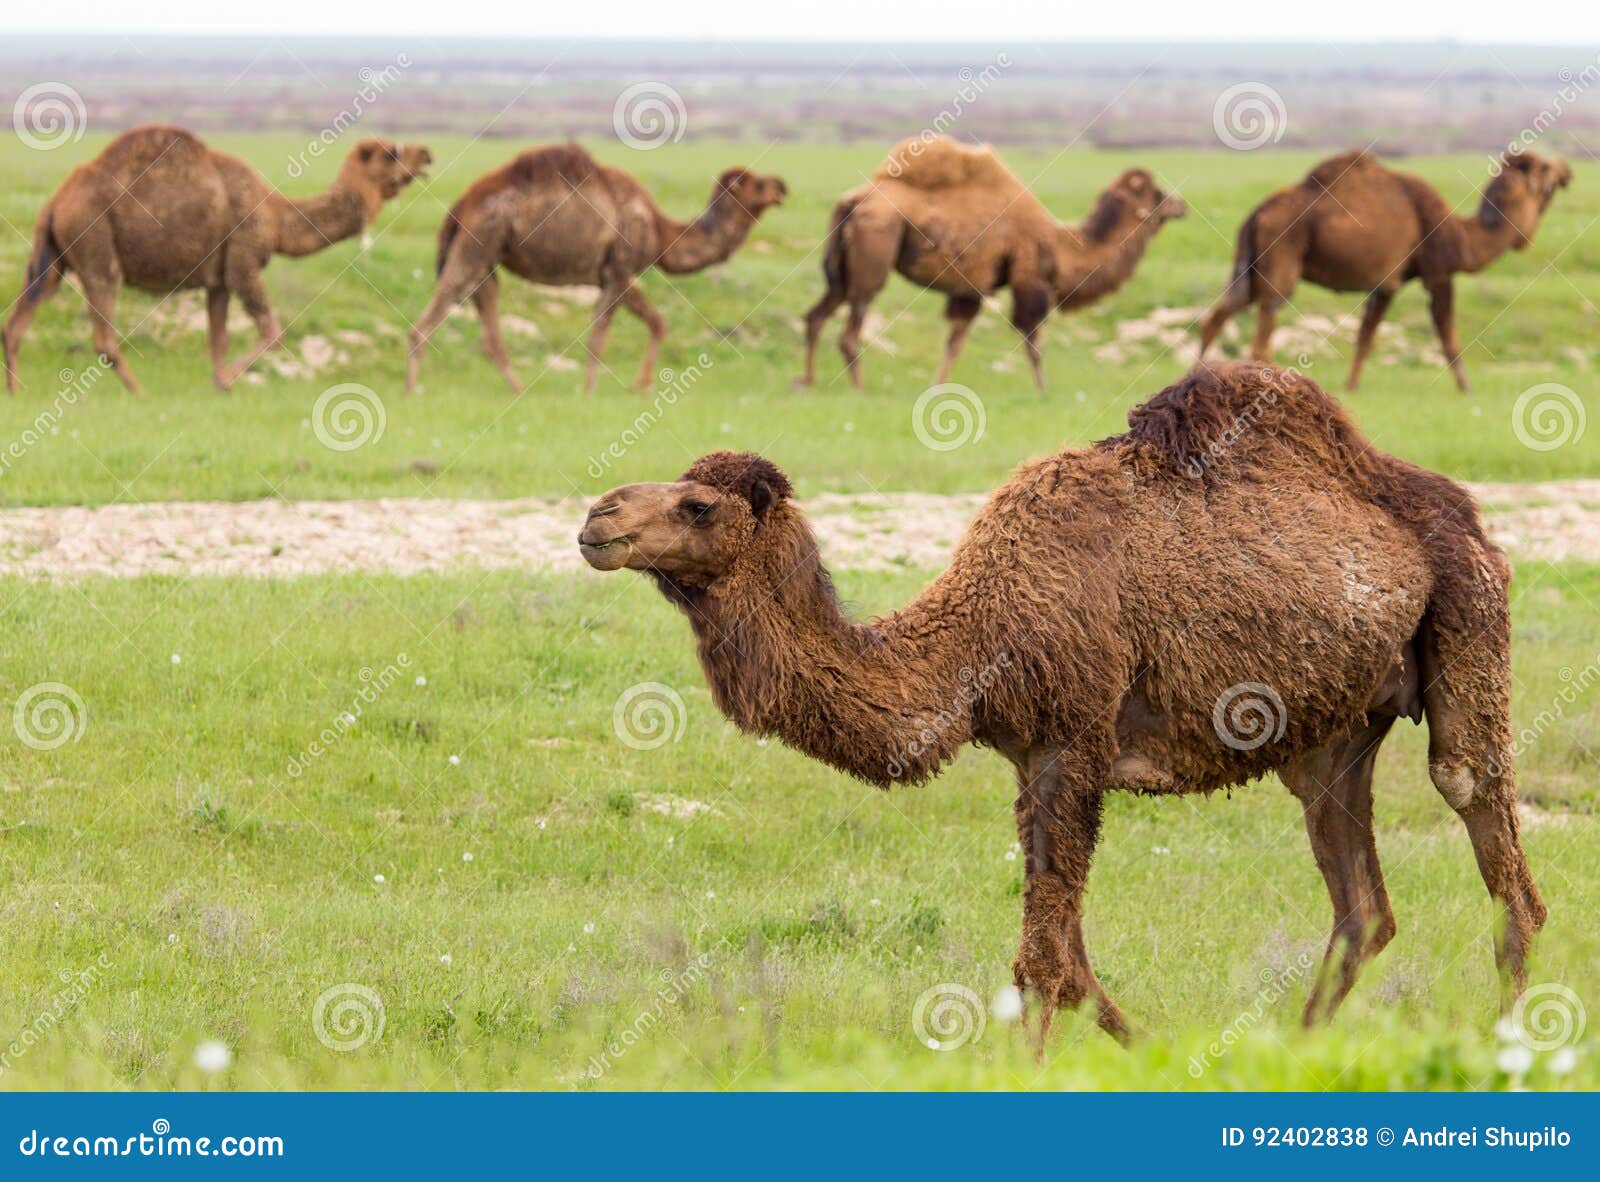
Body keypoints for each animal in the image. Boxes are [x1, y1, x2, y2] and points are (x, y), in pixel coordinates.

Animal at [3, 124, 429, 395]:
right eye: (391, 153)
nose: (426, 153)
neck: (276, 217)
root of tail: (56, 202)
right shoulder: (243, 262)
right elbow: (272, 331)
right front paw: (225, 382)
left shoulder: (218, 279)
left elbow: (217, 339)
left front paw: (218, 382)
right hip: (95, 242)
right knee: (104, 328)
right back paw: (140, 392)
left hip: (53, 255)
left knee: (20, 317)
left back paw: (16, 391)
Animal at [405, 143, 787, 395]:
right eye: (758, 185)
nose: (782, 186)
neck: (660, 231)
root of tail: (460, 206)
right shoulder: (620, 269)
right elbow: (601, 338)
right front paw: (593, 392)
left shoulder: (610, 276)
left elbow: (655, 322)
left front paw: (639, 385)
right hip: (476, 244)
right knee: (429, 318)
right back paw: (412, 391)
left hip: (488, 259)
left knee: (489, 330)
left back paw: (520, 390)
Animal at [579, 362, 1544, 1045]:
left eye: (697, 505)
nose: (597, 518)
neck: (977, 639)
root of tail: (1461, 511)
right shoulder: (1030, 760)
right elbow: (1068, 962)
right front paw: (1154, 1051)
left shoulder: (1073, 744)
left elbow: (1042, 962)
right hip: (1333, 734)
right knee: (1360, 907)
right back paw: (1302, 1044)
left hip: (1469, 615)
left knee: (1483, 822)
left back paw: (1506, 1041)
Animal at [796, 136, 1186, 391]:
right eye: (1155, 193)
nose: (1181, 204)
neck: (1060, 245)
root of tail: (851, 202)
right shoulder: (1030, 278)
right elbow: (1033, 340)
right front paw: (1043, 391)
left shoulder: (972, 288)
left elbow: (955, 341)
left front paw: (937, 386)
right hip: (872, 260)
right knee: (850, 331)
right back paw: (858, 388)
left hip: (840, 272)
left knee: (816, 316)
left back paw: (807, 380)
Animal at [1197, 148, 1572, 392]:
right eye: (1542, 167)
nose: (1567, 168)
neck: (1462, 238)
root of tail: (1256, 214)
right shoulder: (1438, 274)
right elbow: (1448, 334)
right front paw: (1467, 389)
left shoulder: (1386, 283)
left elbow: (1366, 335)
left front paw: (1351, 386)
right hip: (1282, 256)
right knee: (1266, 317)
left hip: (1251, 268)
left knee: (1220, 312)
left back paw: (1200, 372)